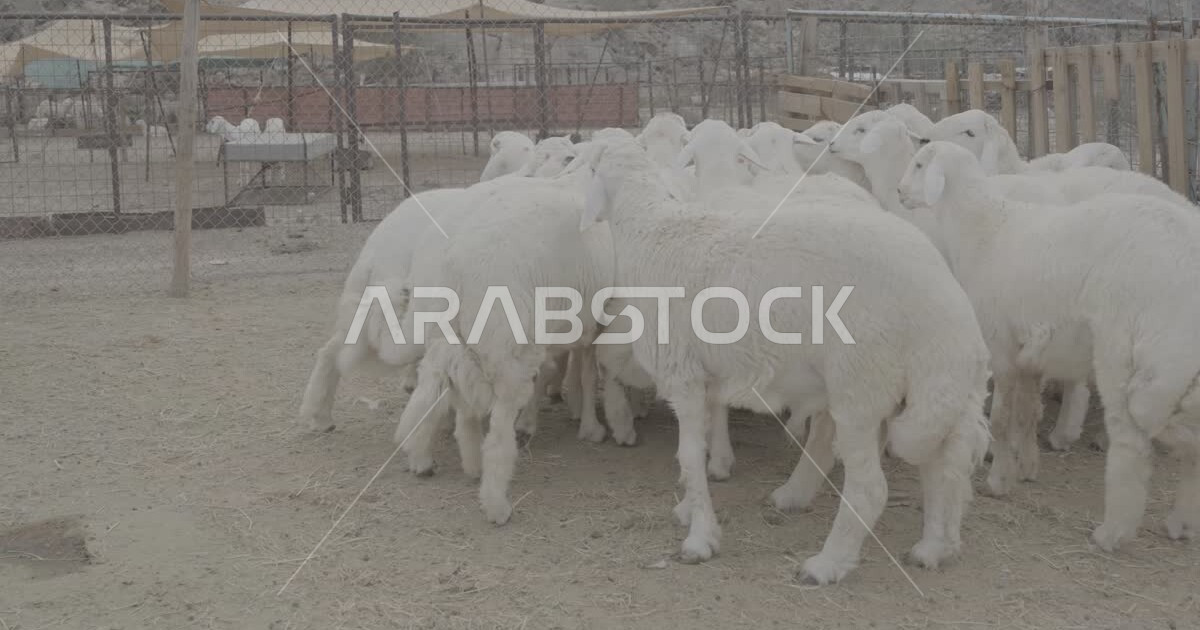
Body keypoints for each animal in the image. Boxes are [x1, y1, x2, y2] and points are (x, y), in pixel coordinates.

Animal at [579, 138, 990, 583]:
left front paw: (699, 540)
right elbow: (699, 451)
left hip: (861, 385)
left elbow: (688, 454)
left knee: (870, 487)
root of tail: (949, 309)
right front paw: (690, 509)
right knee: (942, 467)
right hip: (931, 387)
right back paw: (933, 547)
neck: (650, 233)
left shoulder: (682, 375)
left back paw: (828, 564)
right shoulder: (704, 378)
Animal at [899, 141, 1200, 551]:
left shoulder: (1001, 349)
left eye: (918, 164)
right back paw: (1182, 521)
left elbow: (1002, 419)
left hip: (1124, 348)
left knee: (1131, 442)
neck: (985, 229)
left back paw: (1112, 532)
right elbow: (1028, 413)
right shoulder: (1030, 355)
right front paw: (1027, 467)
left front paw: (999, 480)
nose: (899, 192)